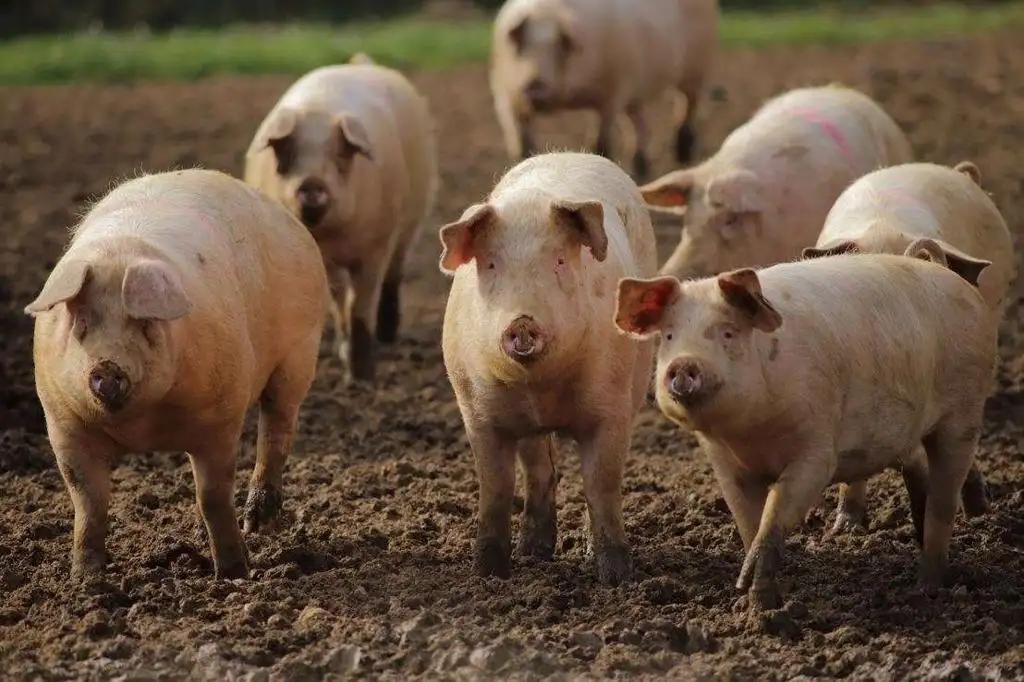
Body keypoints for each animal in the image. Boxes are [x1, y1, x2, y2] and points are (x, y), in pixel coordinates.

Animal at [25, 169, 328, 581]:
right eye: (81, 322)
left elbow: (213, 497)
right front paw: (85, 580)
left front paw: (234, 575)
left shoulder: (220, 419)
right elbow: (89, 502)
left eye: (145, 324)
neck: (143, 430)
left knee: (277, 428)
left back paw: (258, 526)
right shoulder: (63, 423)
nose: (106, 368)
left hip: (299, 354)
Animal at [244, 52, 439, 384]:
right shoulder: (324, 258)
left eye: (341, 155)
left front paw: (362, 379)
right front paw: (347, 358)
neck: (335, 236)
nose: (311, 184)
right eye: (285, 154)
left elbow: (360, 304)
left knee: (394, 274)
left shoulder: (377, 244)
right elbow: (338, 303)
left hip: (413, 216)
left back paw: (387, 336)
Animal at [439, 151, 658, 585]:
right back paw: (534, 552)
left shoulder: (611, 409)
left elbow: (601, 485)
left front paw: (616, 577)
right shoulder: (477, 413)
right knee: (539, 469)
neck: (539, 387)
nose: (522, 322)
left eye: (558, 260)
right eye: (491, 265)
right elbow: (496, 488)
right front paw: (488, 574)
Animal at [489, 0, 719, 180]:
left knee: (687, 106)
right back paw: (640, 171)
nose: (535, 84)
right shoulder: (504, 92)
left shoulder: (612, 92)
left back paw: (683, 158)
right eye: (522, 46)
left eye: (560, 45)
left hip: (699, 65)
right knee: (640, 125)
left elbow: (601, 142)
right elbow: (521, 145)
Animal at [614, 252, 997, 610]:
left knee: (944, 500)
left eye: (727, 333)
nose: (683, 365)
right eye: (669, 336)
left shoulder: (817, 450)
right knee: (918, 468)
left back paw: (927, 587)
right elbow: (748, 522)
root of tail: (961, 285)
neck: (752, 432)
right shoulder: (725, 461)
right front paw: (749, 602)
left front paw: (755, 596)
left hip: (965, 411)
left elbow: (776, 512)